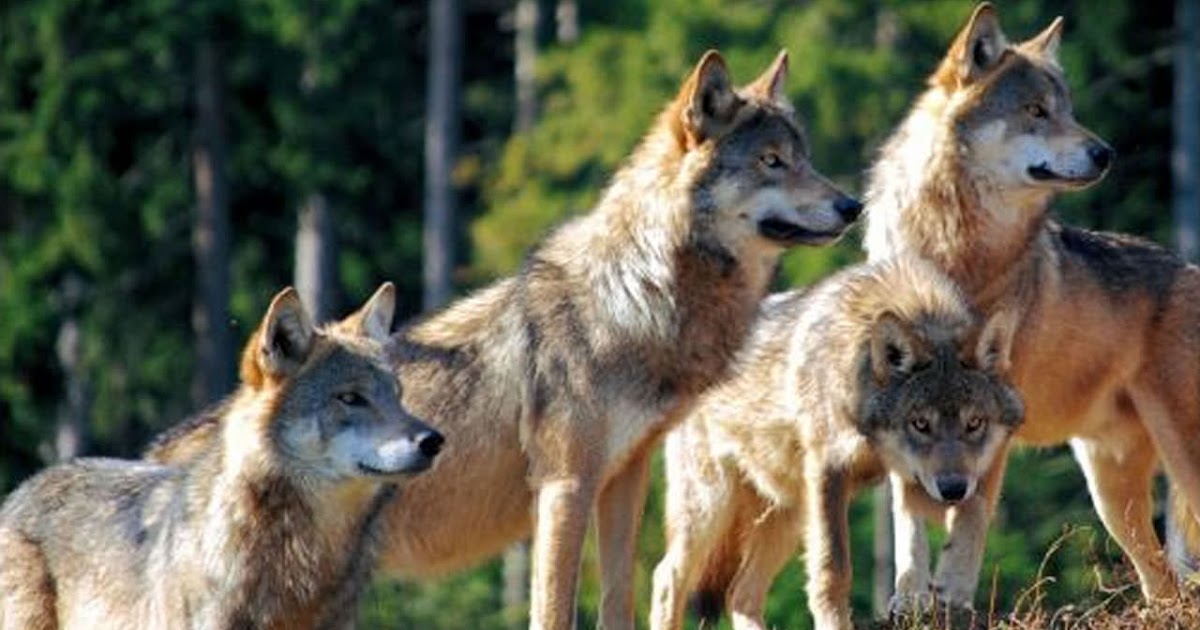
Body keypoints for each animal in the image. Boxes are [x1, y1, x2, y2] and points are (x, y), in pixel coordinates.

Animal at [647, 257, 1022, 630]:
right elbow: (834, 570)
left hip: (788, 514)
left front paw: (936, 593)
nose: (953, 489)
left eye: (974, 423)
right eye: (920, 424)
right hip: (712, 506)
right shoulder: (830, 471)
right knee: (667, 577)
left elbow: (945, 524)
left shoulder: (914, 476)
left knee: (741, 594)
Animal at [865, 1, 1200, 604]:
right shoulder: (902, 404)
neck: (952, 248)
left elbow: (970, 515)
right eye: (1036, 112)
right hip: (1111, 494)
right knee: (1161, 580)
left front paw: (953, 598)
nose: (1106, 153)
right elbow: (910, 522)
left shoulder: (988, 421)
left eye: (1066, 111)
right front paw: (910, 600)